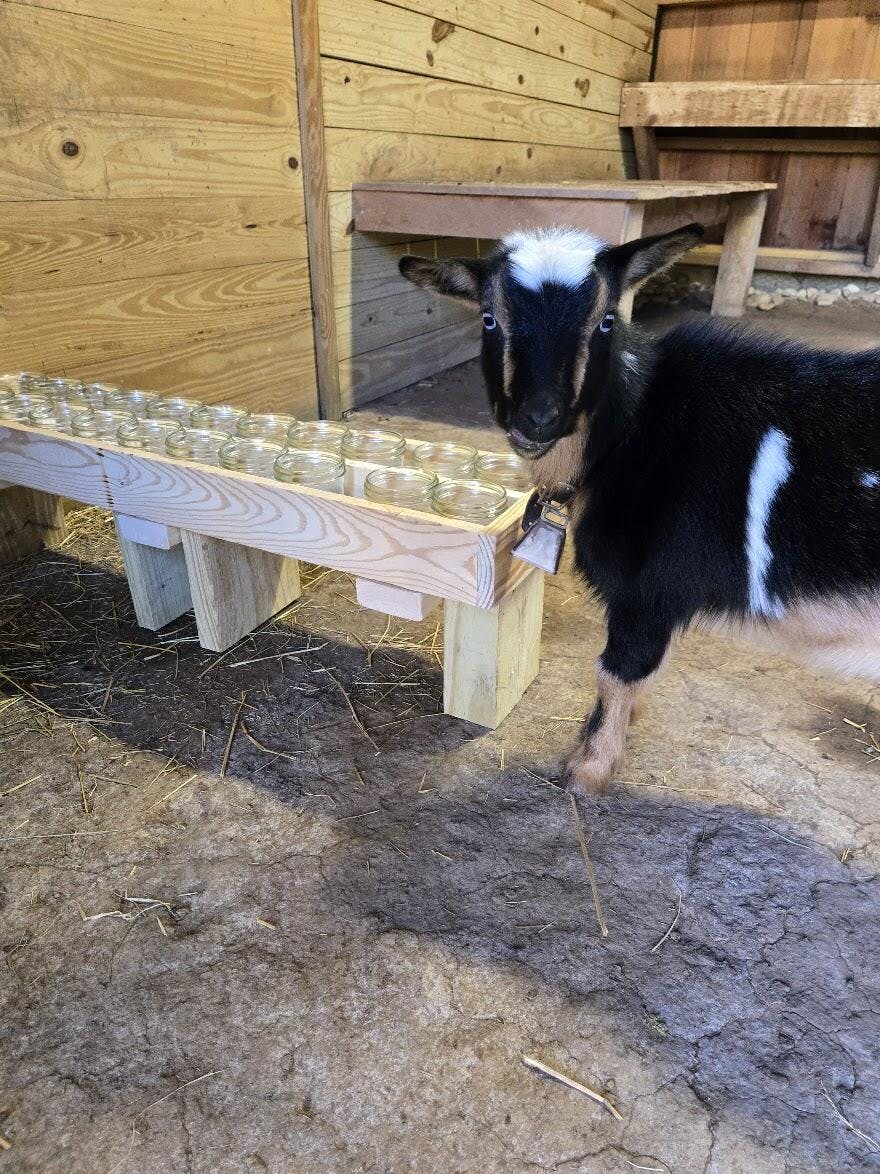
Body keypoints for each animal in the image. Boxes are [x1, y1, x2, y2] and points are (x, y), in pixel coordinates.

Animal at [400, 224, 880, 793]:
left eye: (606, 321)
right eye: (489, 318)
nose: (538, 418)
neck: (632, 431)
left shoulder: (649, 590)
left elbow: (616, 673)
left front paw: (588, 769)